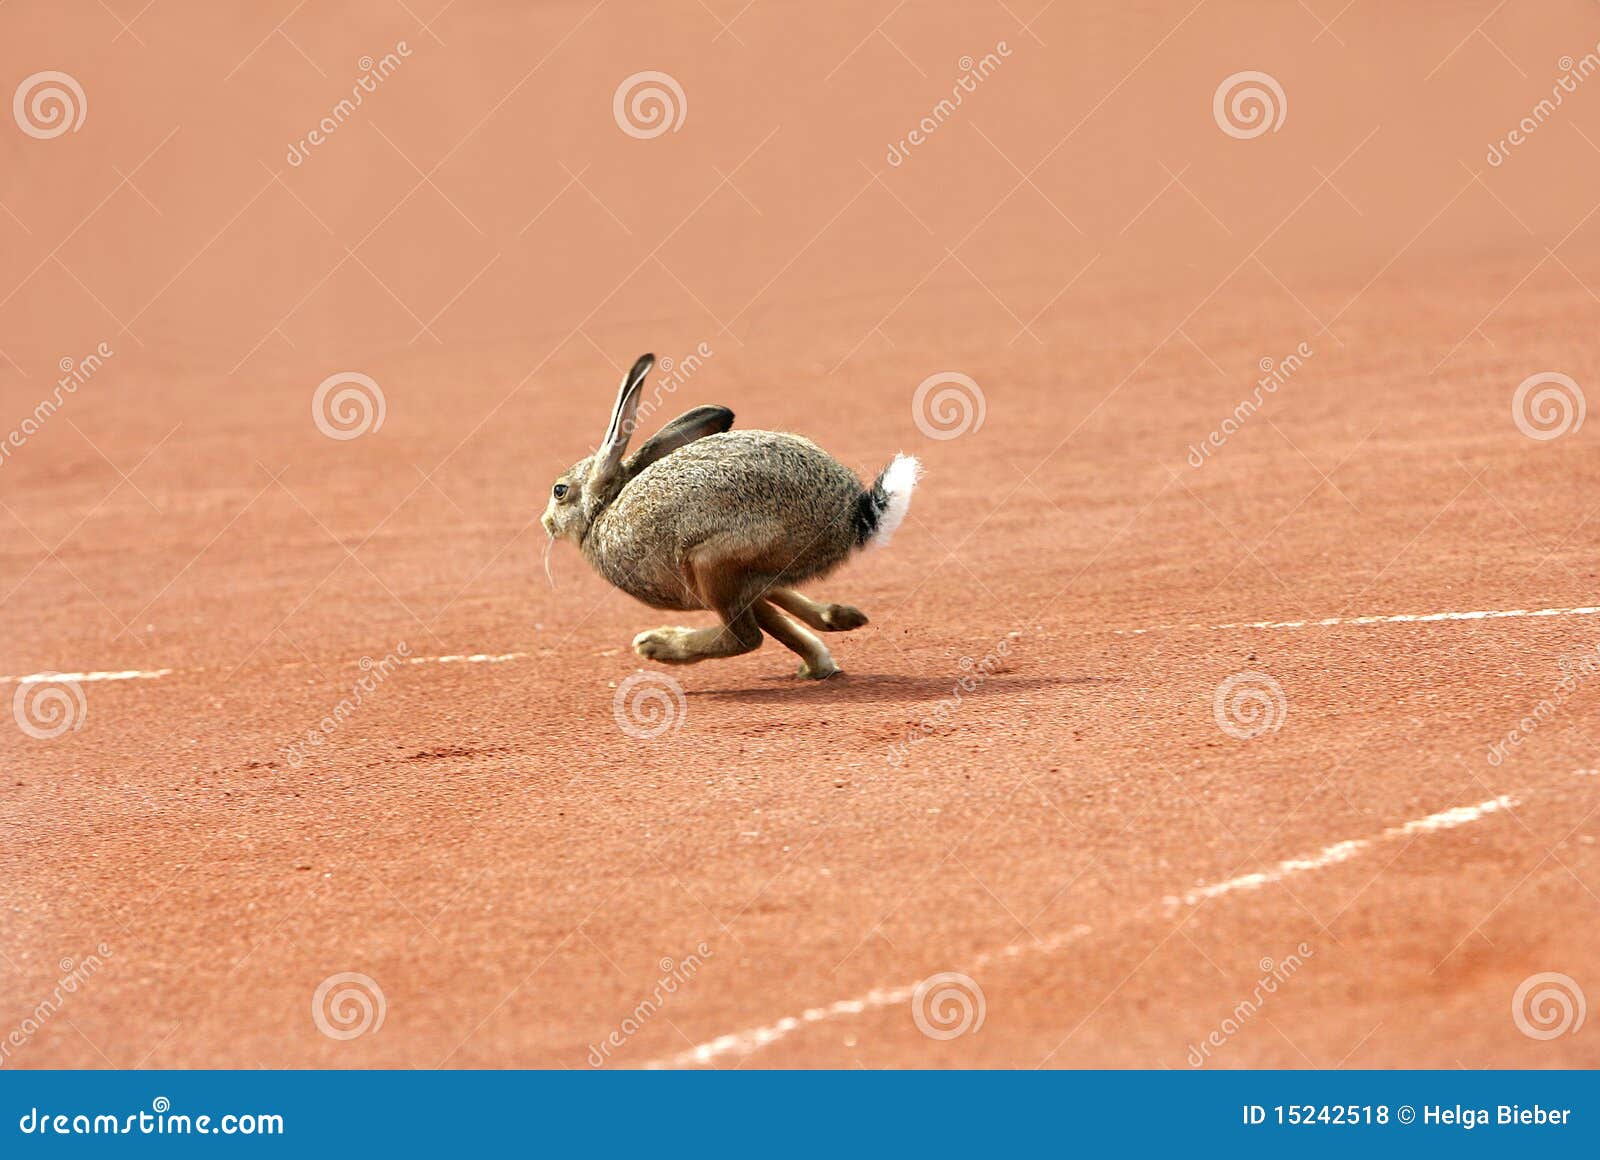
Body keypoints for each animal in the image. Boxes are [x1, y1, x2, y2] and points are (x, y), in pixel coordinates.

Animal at [540, 353, 920, 678]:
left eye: (560, 491)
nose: (545, 522)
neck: (600, 512)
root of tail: (853, 517)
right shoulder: (751, 585)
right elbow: (779, 615)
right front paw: (824, 653)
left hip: (709, 560)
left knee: (744, 638)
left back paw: (656, 645)